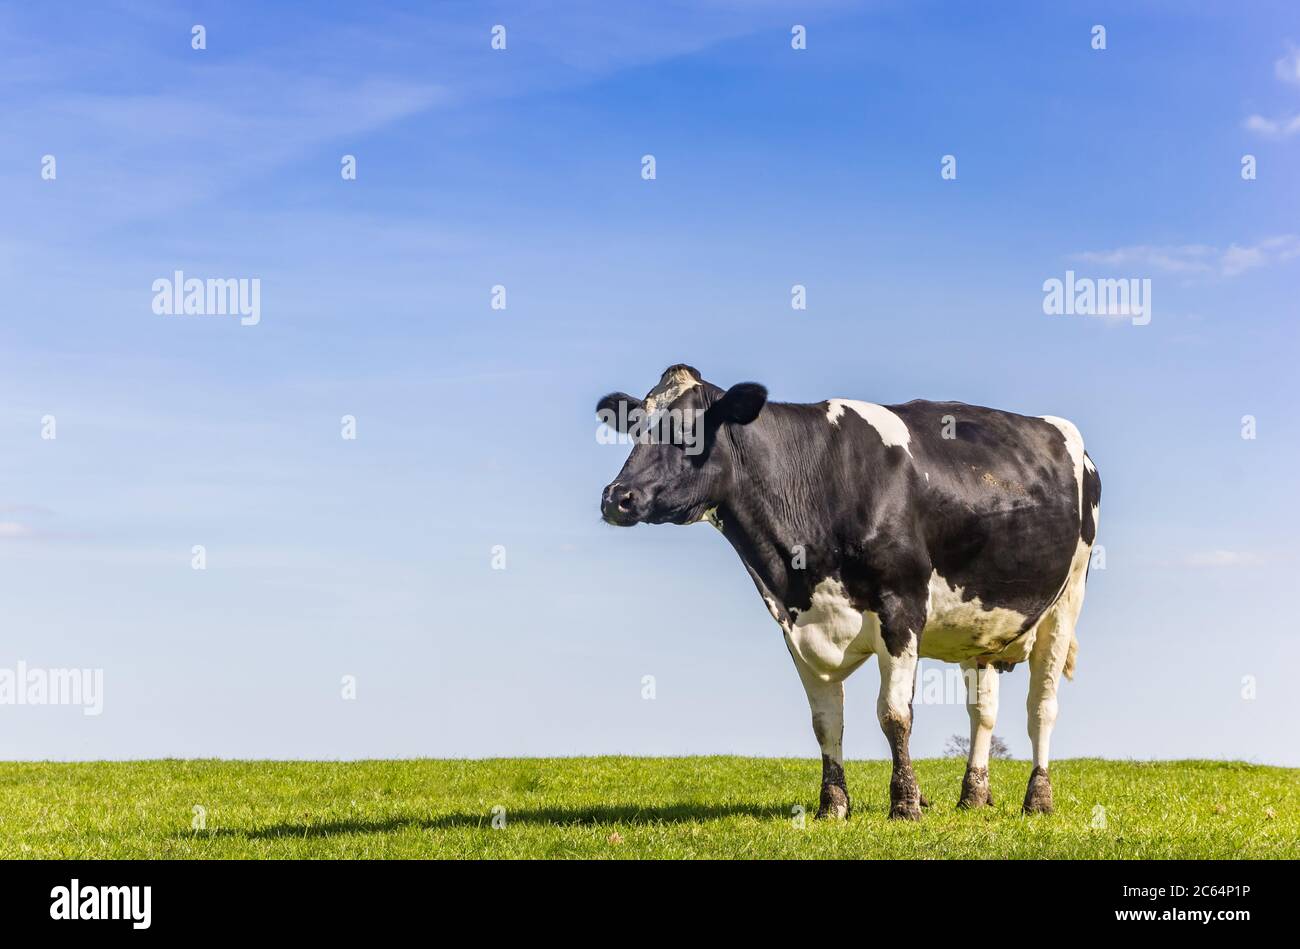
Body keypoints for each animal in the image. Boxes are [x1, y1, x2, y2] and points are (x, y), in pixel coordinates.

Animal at [597, 365, 1100, 820]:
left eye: (688, 430)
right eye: (636, 429)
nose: (616, 497)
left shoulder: (901, 608)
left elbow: (894, 714)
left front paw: (906, 803)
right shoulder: (796, 622)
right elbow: (825, 721)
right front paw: (833, 805)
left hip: (1066, 602)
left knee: (1041, 707)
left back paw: (1038, 799)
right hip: (982, 627)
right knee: (983, 711)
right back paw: (973, 796)